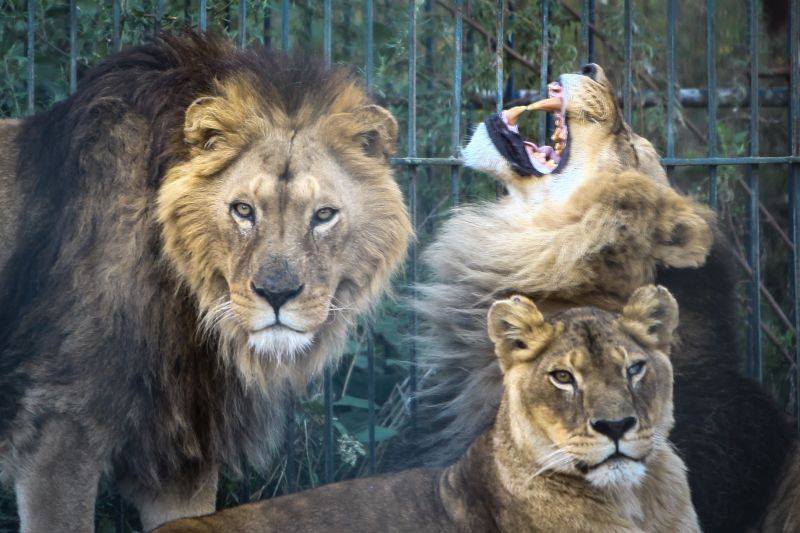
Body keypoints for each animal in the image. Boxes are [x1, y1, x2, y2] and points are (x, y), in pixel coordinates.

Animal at [0, 34, 411, 531]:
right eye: (243, 210)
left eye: (324, 215)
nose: (276, 295)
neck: (192, 309)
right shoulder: (56, 431)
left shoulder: (181, 457)